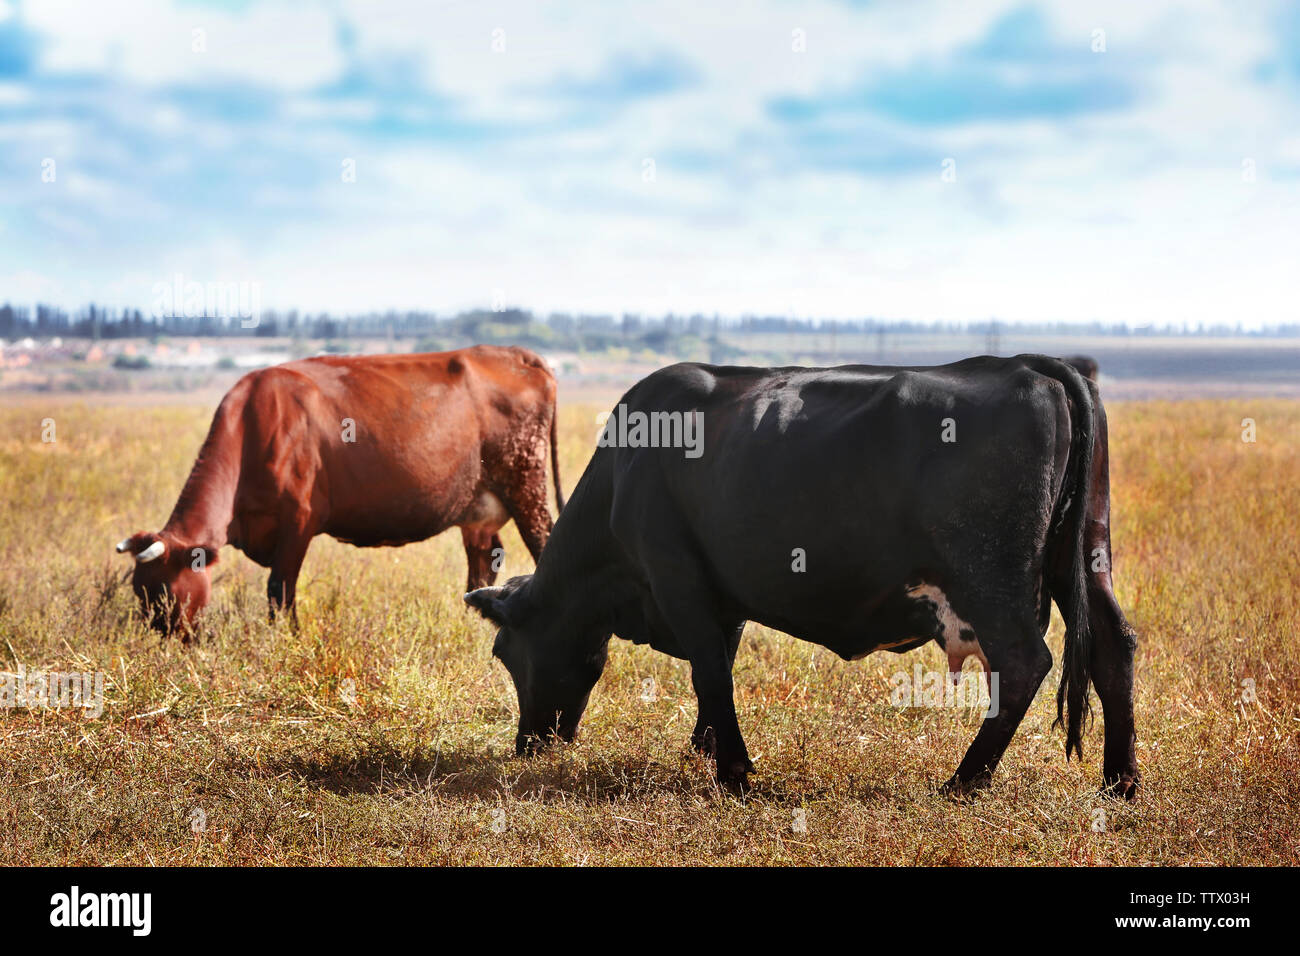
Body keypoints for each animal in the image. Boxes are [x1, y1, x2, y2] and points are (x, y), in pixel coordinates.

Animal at [117, 345, 564, 636]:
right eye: (139, 590)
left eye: (163, 591)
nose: (163, 639)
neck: (254, 424)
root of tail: (516, 354)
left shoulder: (299, 520)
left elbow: (280, 589)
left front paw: (287, 638)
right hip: (480, 506)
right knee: (483, 560)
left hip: (527, 479)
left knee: (543, 543)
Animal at [465, 354, 1139, 799]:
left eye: (505, 652)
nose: (528, 746)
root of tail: (1030, 366)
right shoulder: (721, 591)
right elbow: (718, 665)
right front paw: (707, 747)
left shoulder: (677, 578)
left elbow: (711, 669)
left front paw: (734, 774)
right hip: (1085, 555)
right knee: (1113, 644)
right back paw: (1121, 780)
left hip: (989, 582)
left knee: (1024, 664)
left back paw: (962, 782)